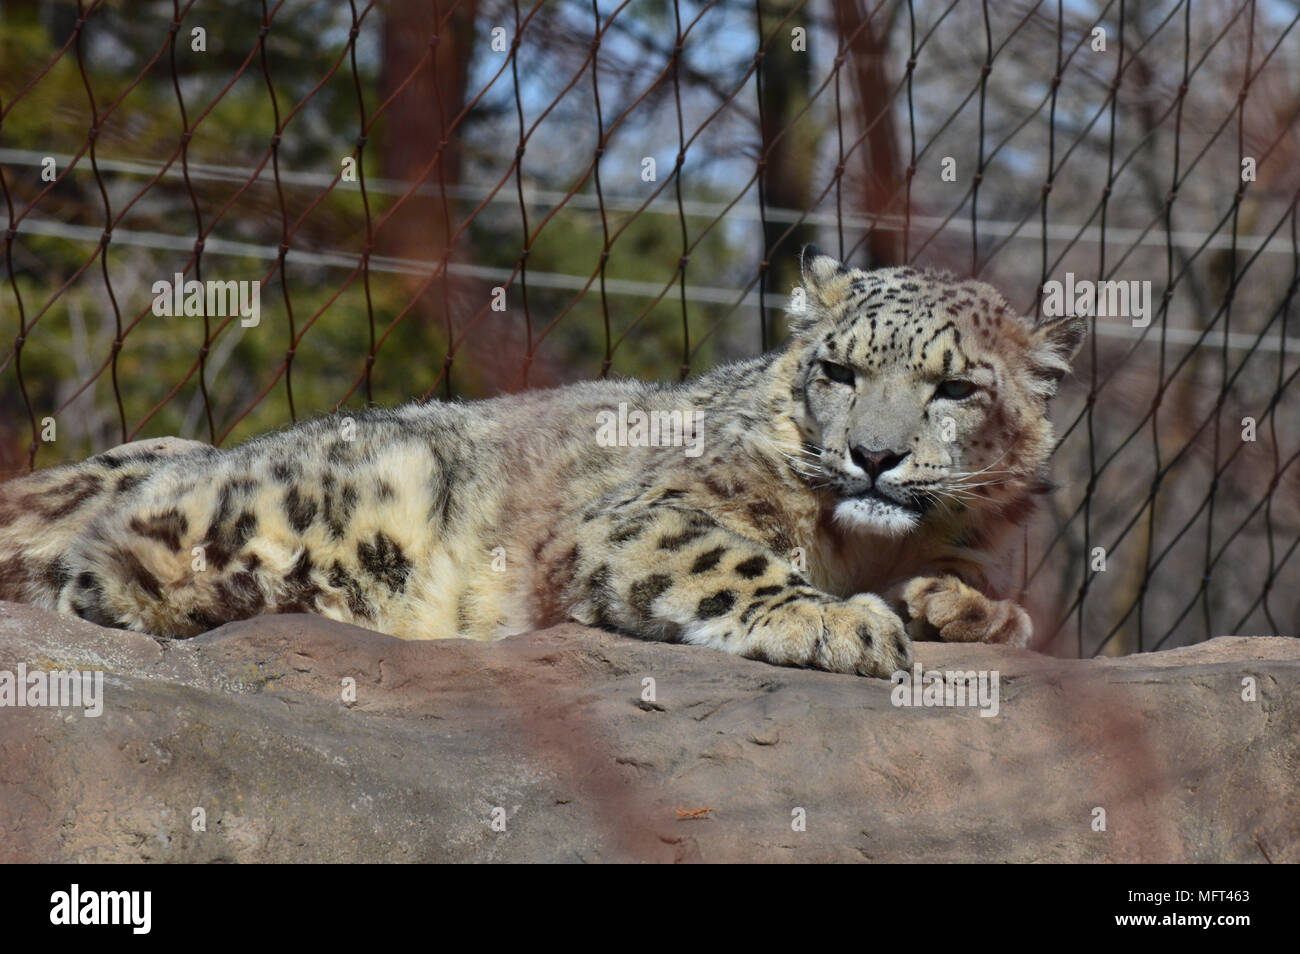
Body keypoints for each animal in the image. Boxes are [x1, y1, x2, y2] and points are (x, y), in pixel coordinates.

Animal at [0, 248, 1084, 678]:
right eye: (839, 369)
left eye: (956, 388)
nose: (872, 456)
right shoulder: (649, 512)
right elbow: (731, 560)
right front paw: (842, 625)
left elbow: (1018, 614)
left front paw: (954, 603)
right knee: (112, 568)